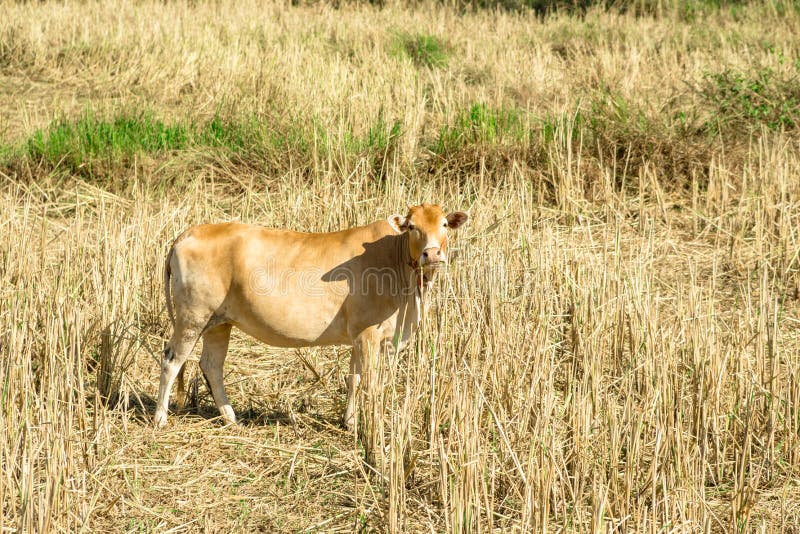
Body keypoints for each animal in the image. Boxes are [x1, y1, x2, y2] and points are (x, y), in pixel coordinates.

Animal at [154, 203, 468, 431]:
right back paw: (160, 418)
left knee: (211, 365)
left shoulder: (360, 335)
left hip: (219, 322)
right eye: (412, 227)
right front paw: (373, 428)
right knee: (171, 360)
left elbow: (353, 380)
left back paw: (231, 418)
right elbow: (371, 383)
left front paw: (350, 423)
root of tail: (190, 232)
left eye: (443, 224)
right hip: (192, 317)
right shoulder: (368, 334)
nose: (432, 254)